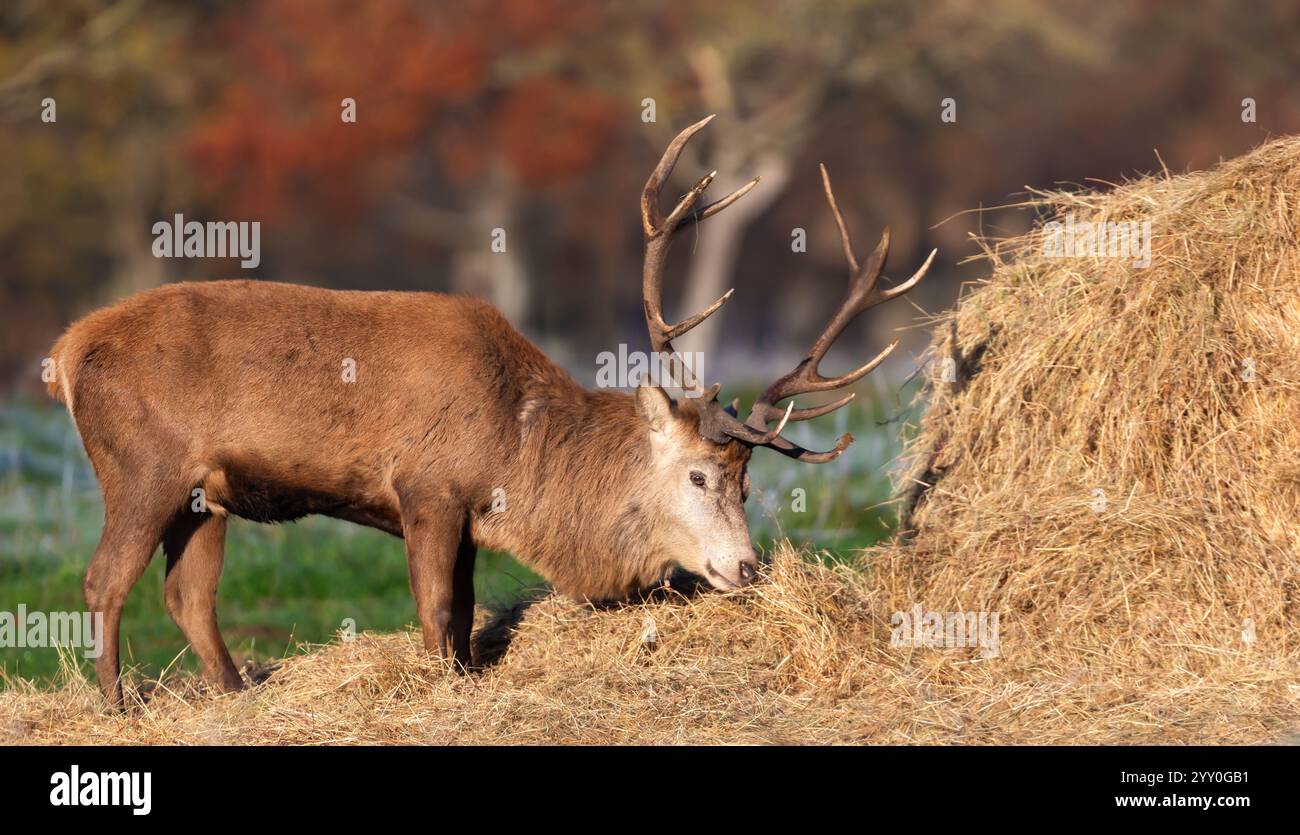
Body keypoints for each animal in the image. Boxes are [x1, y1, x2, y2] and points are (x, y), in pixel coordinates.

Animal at [46, 116, 933, 705]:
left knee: (186, 594)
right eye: (697, 475)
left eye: (748, 481)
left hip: (207, 492)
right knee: (104, 578)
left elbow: (467, 617)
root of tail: (67, 351)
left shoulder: (469, 514)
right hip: (141, 464)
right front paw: (441, 687)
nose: (746, 568)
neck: (518, 448)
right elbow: (437, 613)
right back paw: (114, 704)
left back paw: (236, 693)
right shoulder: (428, 489)